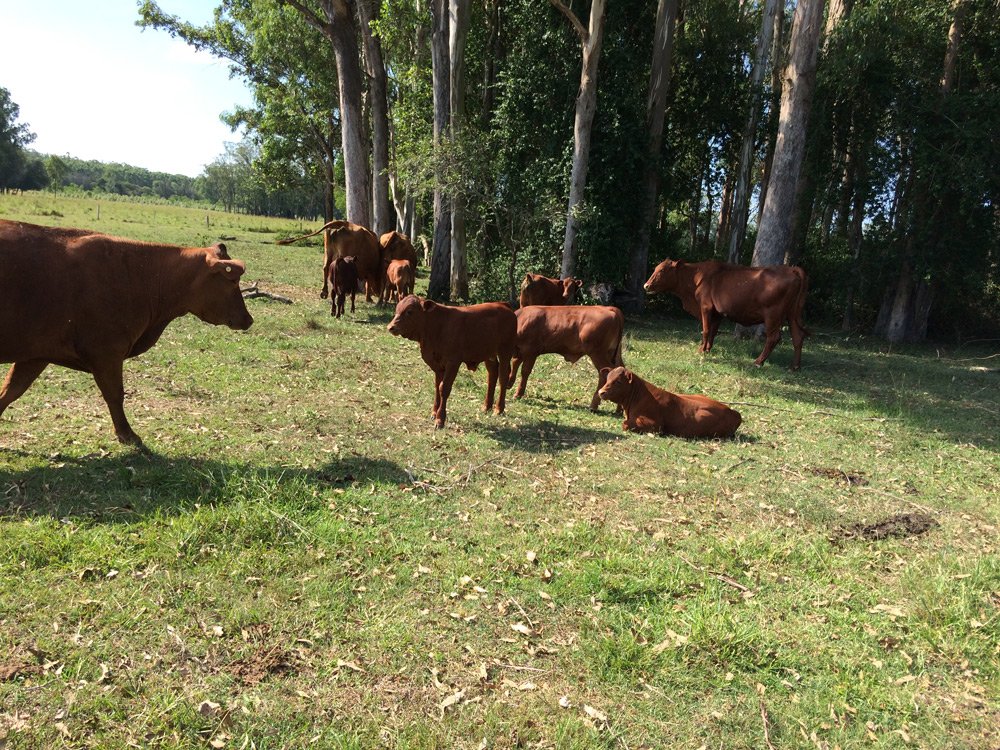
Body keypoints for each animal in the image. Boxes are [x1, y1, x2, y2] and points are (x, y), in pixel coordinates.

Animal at [0, 220, 253, 448]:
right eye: (232, 280)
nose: (249, 319)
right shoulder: (106, 353)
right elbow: (115, 394)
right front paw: (127, 434)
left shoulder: (37, 353)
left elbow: (10, 390)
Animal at [387, 296, 517, 428]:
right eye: (397, 309)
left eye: (409, 311)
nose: (391, 327)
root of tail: (503, 304)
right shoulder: (438, 366)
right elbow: (437, 387)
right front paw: (434, 413)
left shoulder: (453, 363)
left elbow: (444, 388)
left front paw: (440, 419)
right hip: (488, 354)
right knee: (492, 374)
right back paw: (486, 407)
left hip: (505, 351)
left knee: (503, 377)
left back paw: (498, 409)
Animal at [597, 366, 742, 439]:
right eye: (608, 377)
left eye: (618, 381)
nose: (601, 392)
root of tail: (733, 412)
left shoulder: (655, 425)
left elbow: (625, 424)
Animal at [643, 259, 809, 370]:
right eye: (656, 268)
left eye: (662, 270)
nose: (646, 285)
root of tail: (791, 269)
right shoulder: (717, 313)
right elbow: (713, 332)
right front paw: (707, 349)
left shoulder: (705, 307)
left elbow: (706, 330)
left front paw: (701, 351)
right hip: (792, 313)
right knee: (798, 336)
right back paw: (795, 366)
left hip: (772, 315)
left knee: (774, 337)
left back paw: (758, 361)